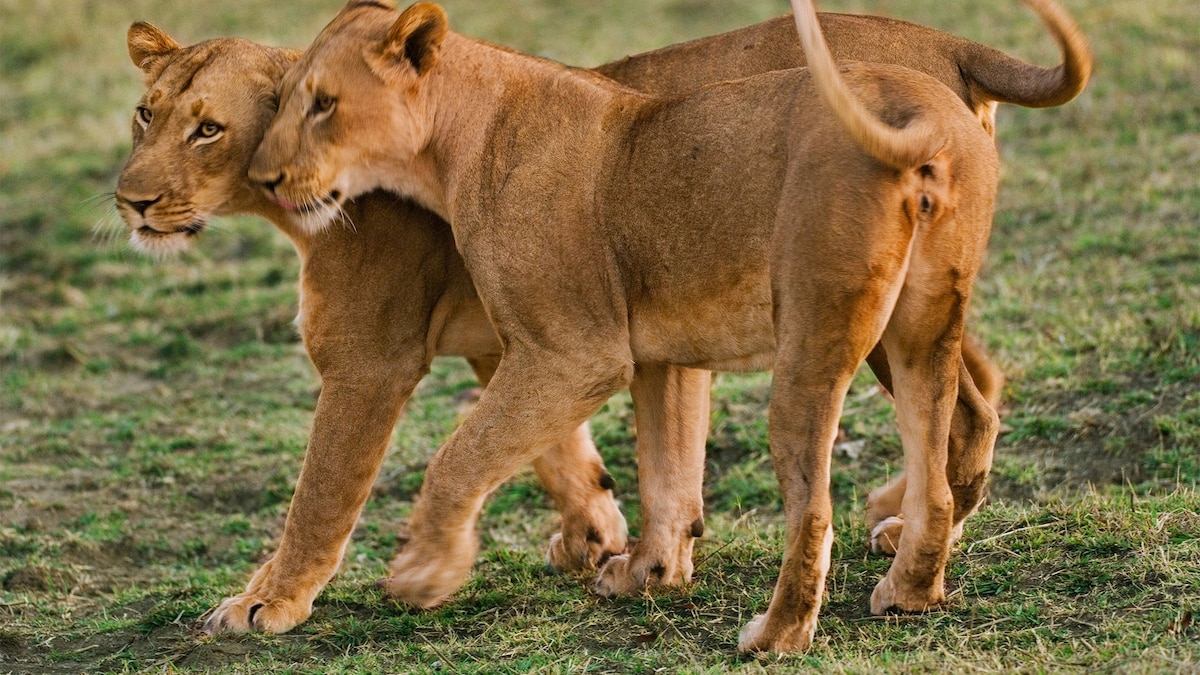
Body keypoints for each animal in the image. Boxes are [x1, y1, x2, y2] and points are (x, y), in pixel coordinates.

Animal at [116, 0, 1089, 639]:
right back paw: (908, 543)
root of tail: (944, 45)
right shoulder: (558, 342)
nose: (130, 200)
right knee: (974, 387)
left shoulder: (386, 360)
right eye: (144, 114)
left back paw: (803, 611)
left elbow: (354, 484)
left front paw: (275, 599)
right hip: (909, 313)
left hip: (829, 328)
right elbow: (586, 457)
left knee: (906, 437)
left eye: (209, 128)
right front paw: (613, 546)